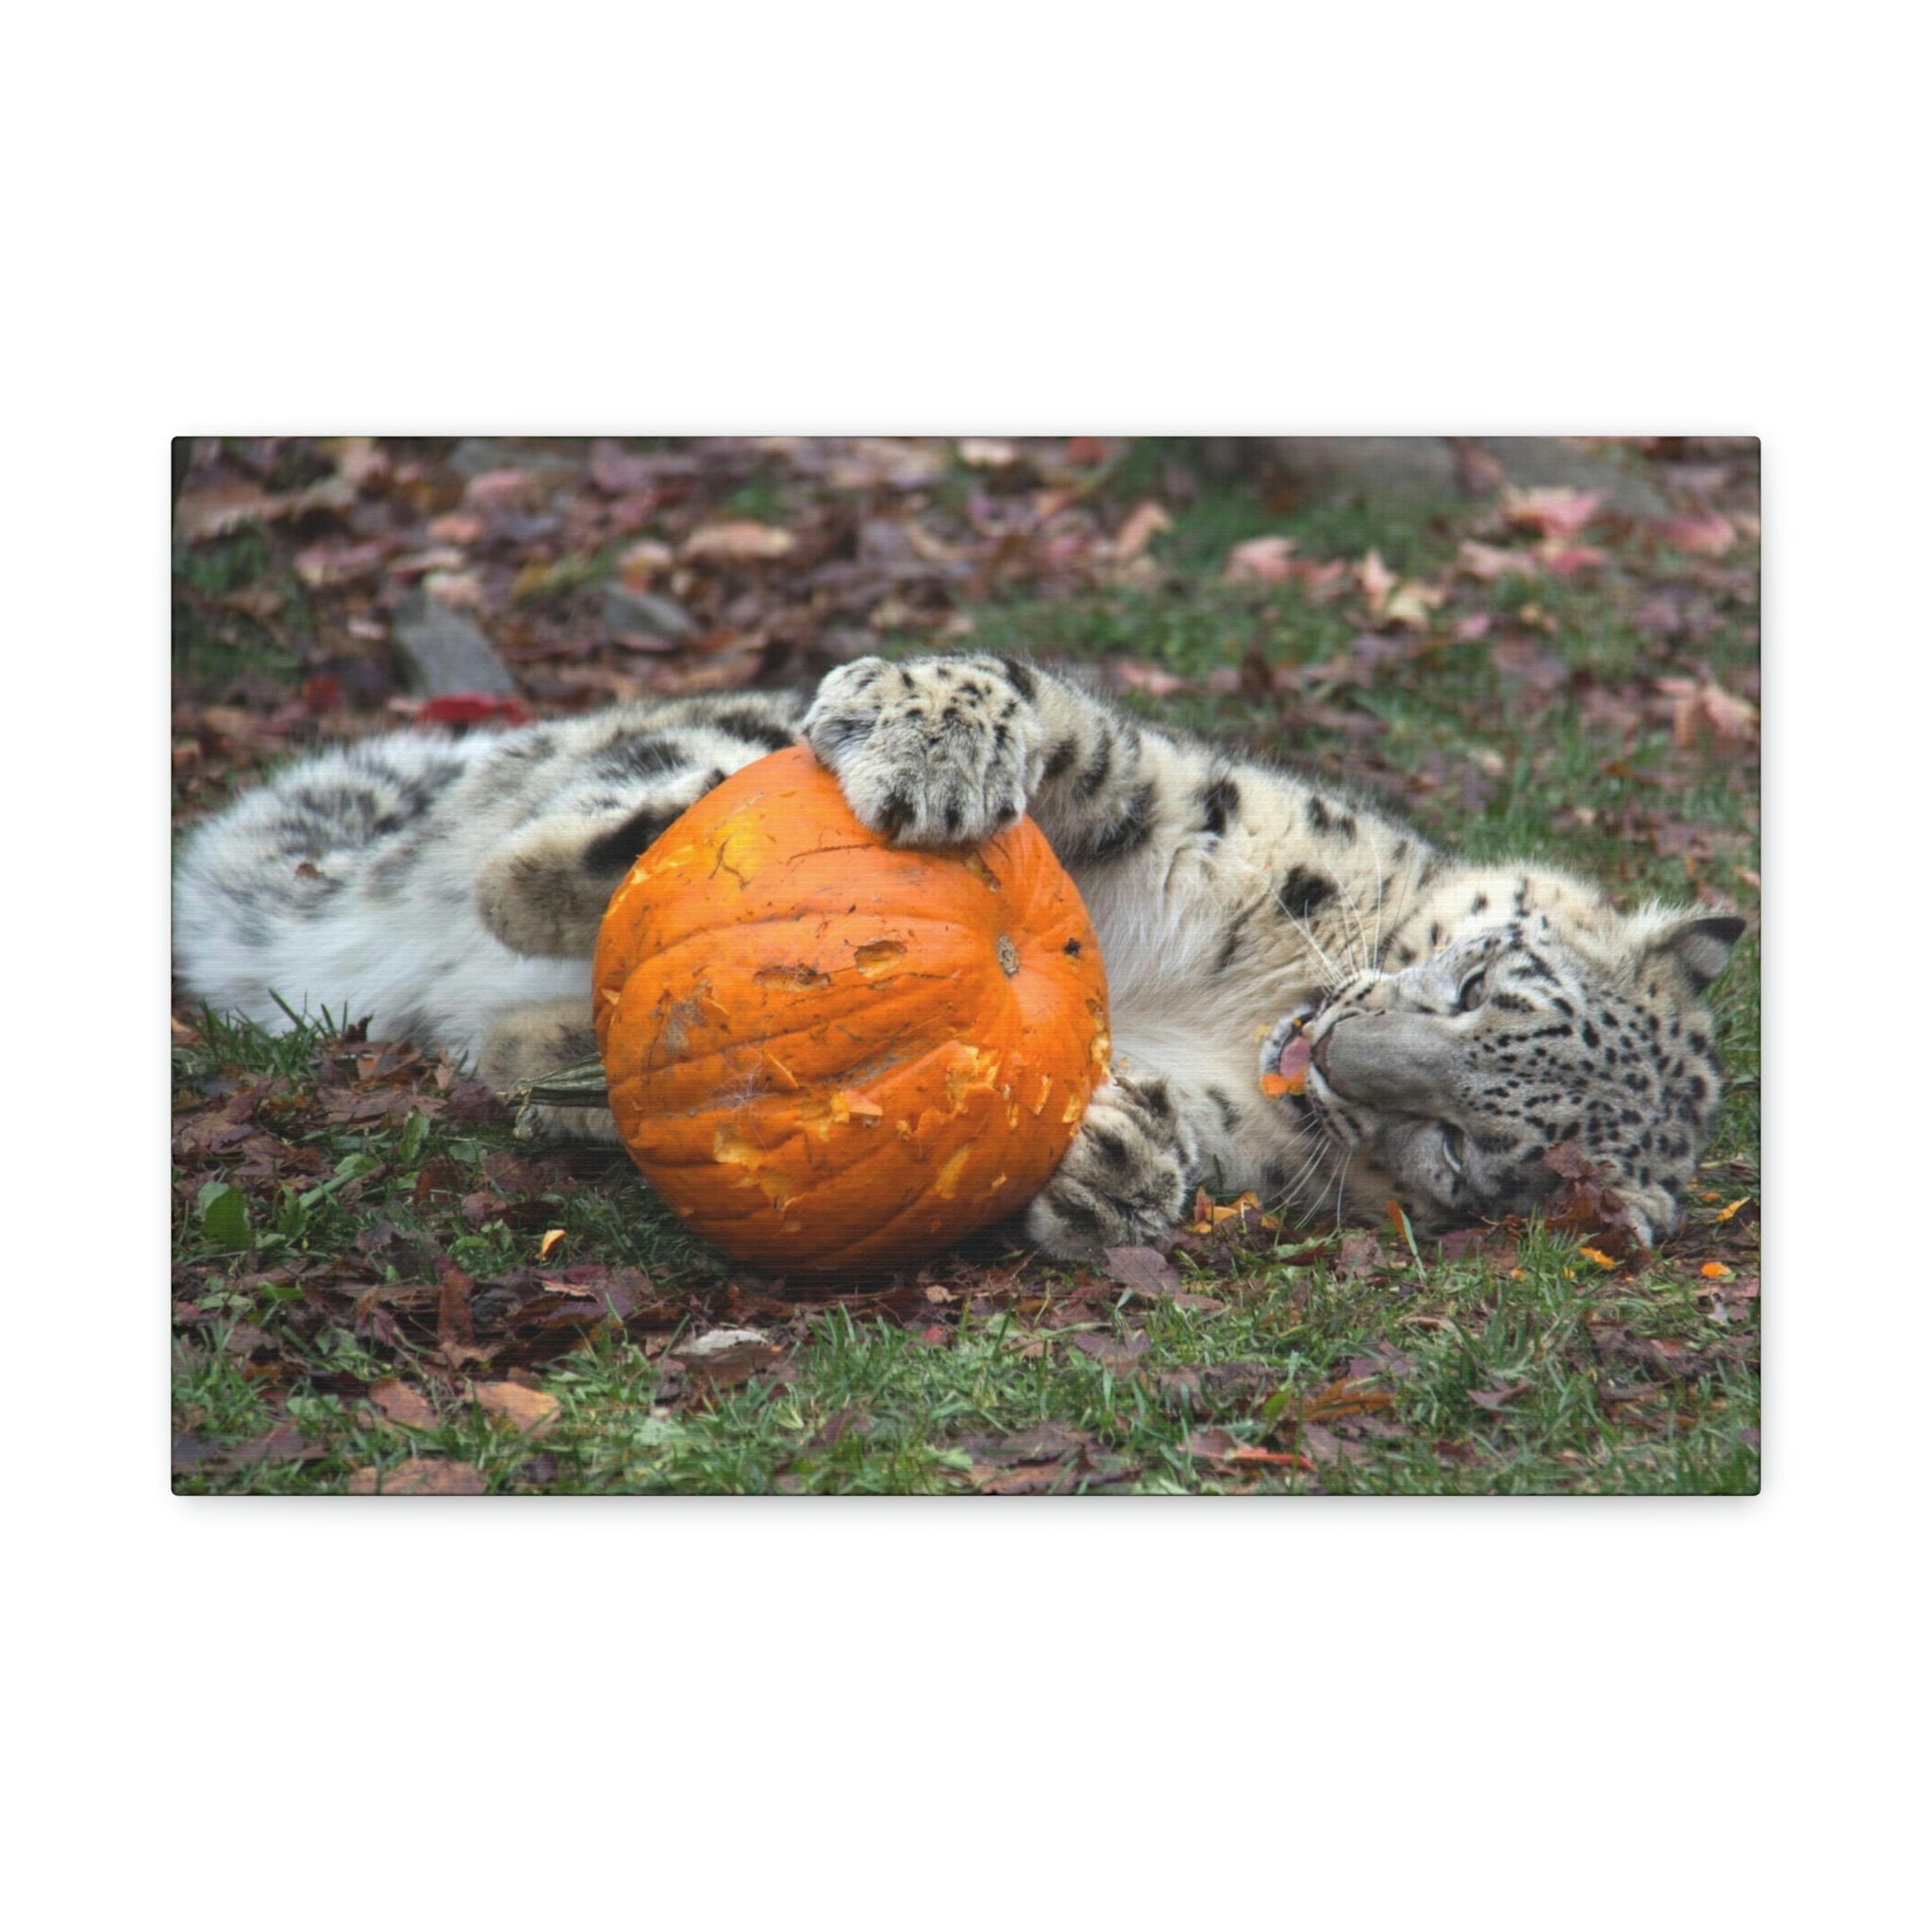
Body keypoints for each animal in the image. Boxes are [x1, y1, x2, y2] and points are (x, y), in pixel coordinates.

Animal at [172, 652, 1744, 1257]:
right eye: (1479, 982)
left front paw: (1115, 1161)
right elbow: (1072, 729)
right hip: (663, 751)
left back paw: (576, 1064)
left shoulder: (1265, 1132)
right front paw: (937, 739)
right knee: (552, 847)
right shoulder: (1210, 810)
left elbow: (1185, 1139)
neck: (1253, 997)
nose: (1343, 1055)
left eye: (1472, 1144)